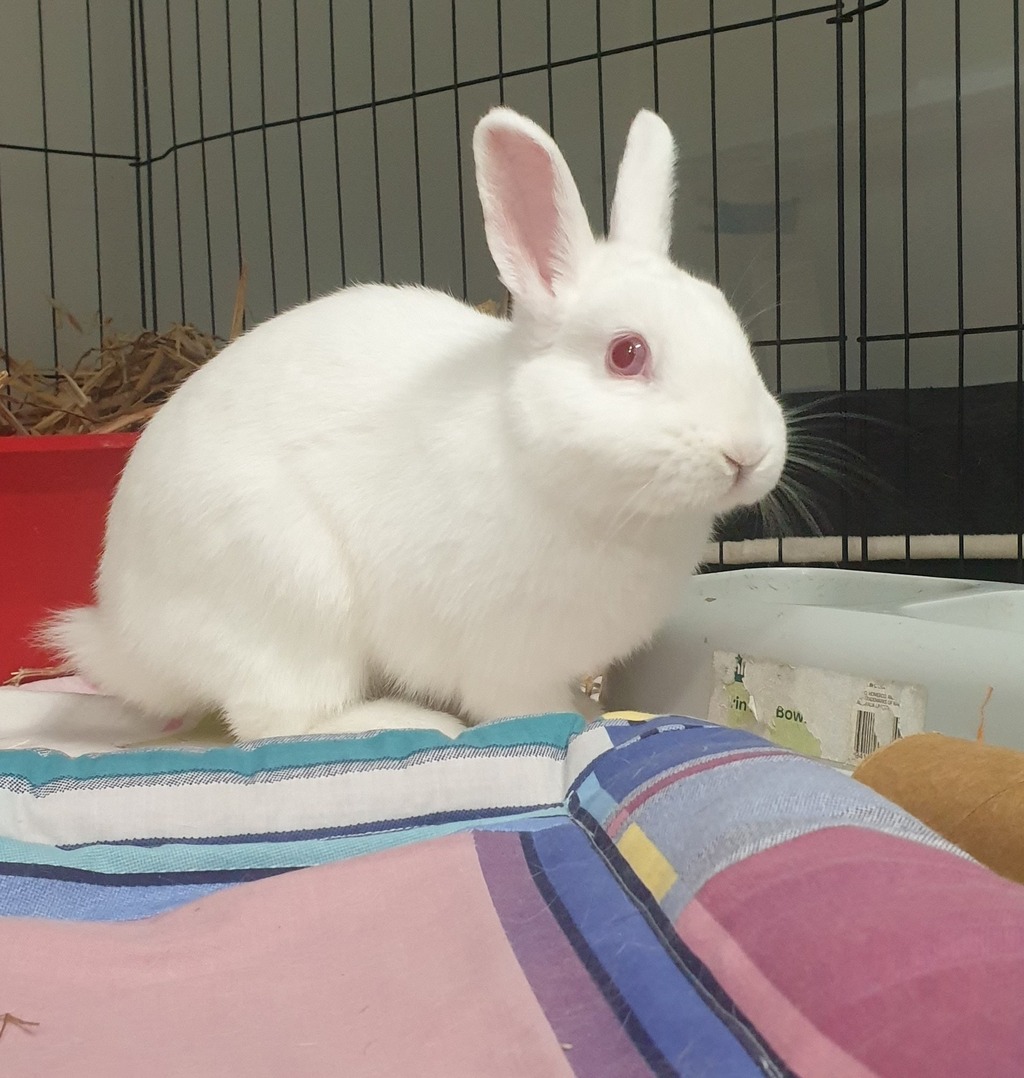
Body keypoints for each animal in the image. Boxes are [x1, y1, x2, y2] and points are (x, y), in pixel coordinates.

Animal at [42, 106, 787, 742]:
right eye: (626, 354)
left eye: (729, 324)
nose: (748, 453)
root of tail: (130, 634)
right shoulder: (507, 656)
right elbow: (525, 708)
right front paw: (580, 720)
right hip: (290, 598)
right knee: (277, 720)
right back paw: (408, 721)